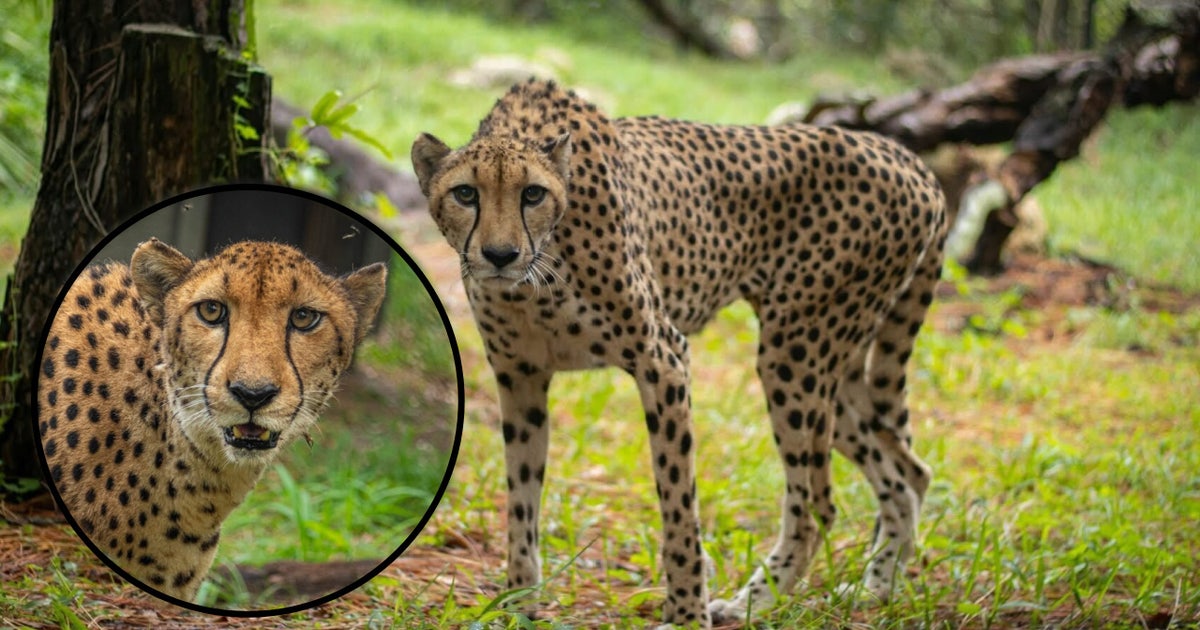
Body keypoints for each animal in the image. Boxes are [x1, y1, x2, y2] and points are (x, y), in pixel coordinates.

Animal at [411, 79, 947, 627]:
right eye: (466, 193)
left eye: (532, 193)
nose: (500, 255)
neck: (536, 276)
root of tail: (903, 154)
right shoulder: (520, 377)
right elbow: (521, 502)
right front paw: (520, 603)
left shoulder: (664, 361)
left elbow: (678, 505)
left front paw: (688, 612)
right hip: (829, 369)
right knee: (908, 474)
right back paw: (876, 587)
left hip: (793, 357)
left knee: (819, 503)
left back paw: (758, 600)